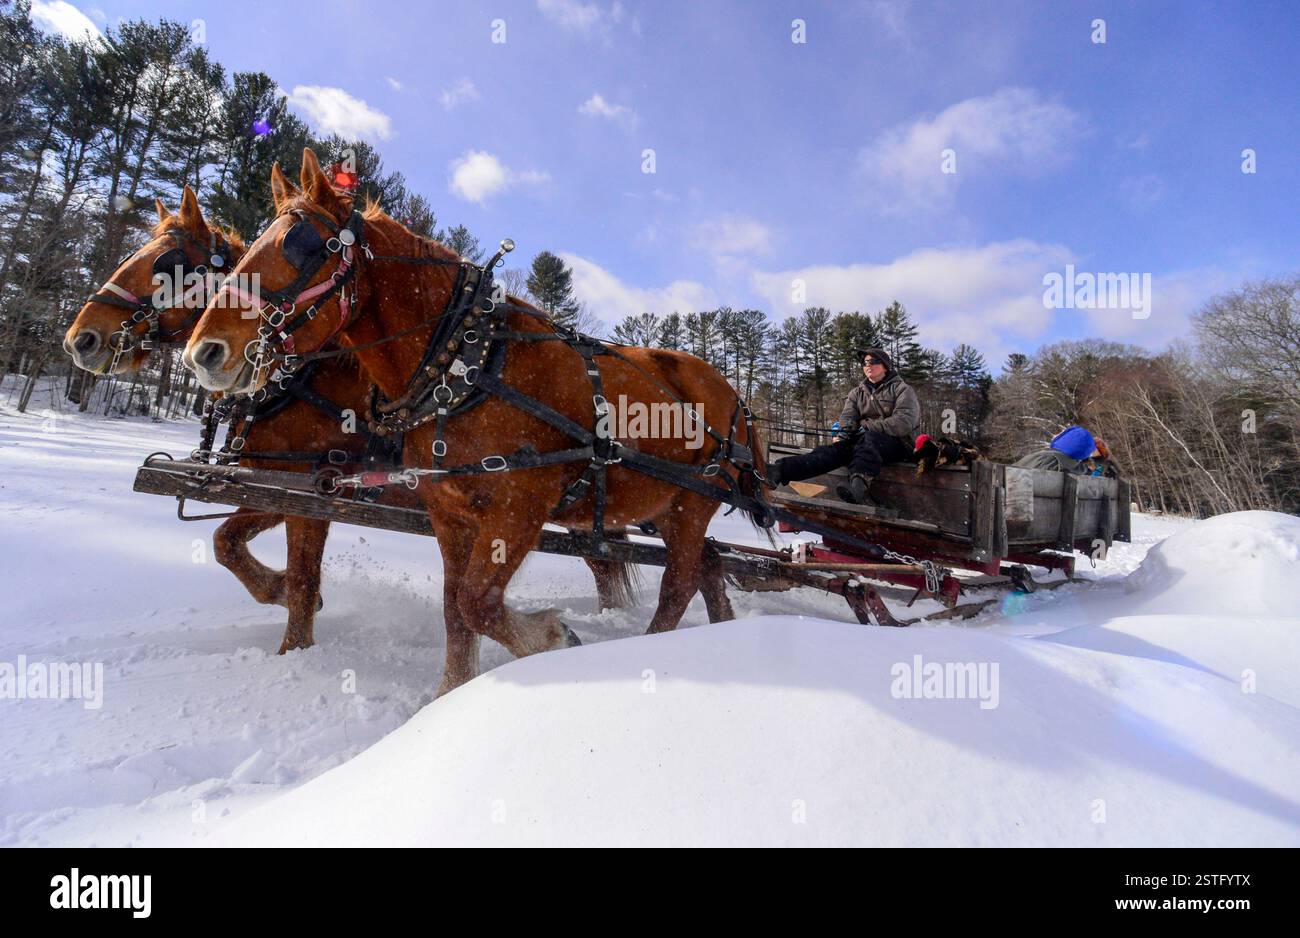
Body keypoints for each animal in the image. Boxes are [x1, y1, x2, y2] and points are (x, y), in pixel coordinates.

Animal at [63, 187, 636, 655]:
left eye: (168, 262)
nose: (80, 339)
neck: (305, 375)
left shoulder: (308, 487)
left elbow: (294, 577)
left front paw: (294, 644)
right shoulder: (279, 483)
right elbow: (229, 544)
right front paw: (286, 615)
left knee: (602, 557)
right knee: (603, 561)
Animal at [183, 149, 767, 694]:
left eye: (299, 245)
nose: (203, 353)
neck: (468, 363)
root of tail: (735, 398)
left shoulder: (518, 508)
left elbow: (476, 602)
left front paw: (553, 638)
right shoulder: (446, 513)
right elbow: (453, 609)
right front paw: (452, 692)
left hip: (692, 503)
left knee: (678, 583)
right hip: (665, 509)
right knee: (706, 567)